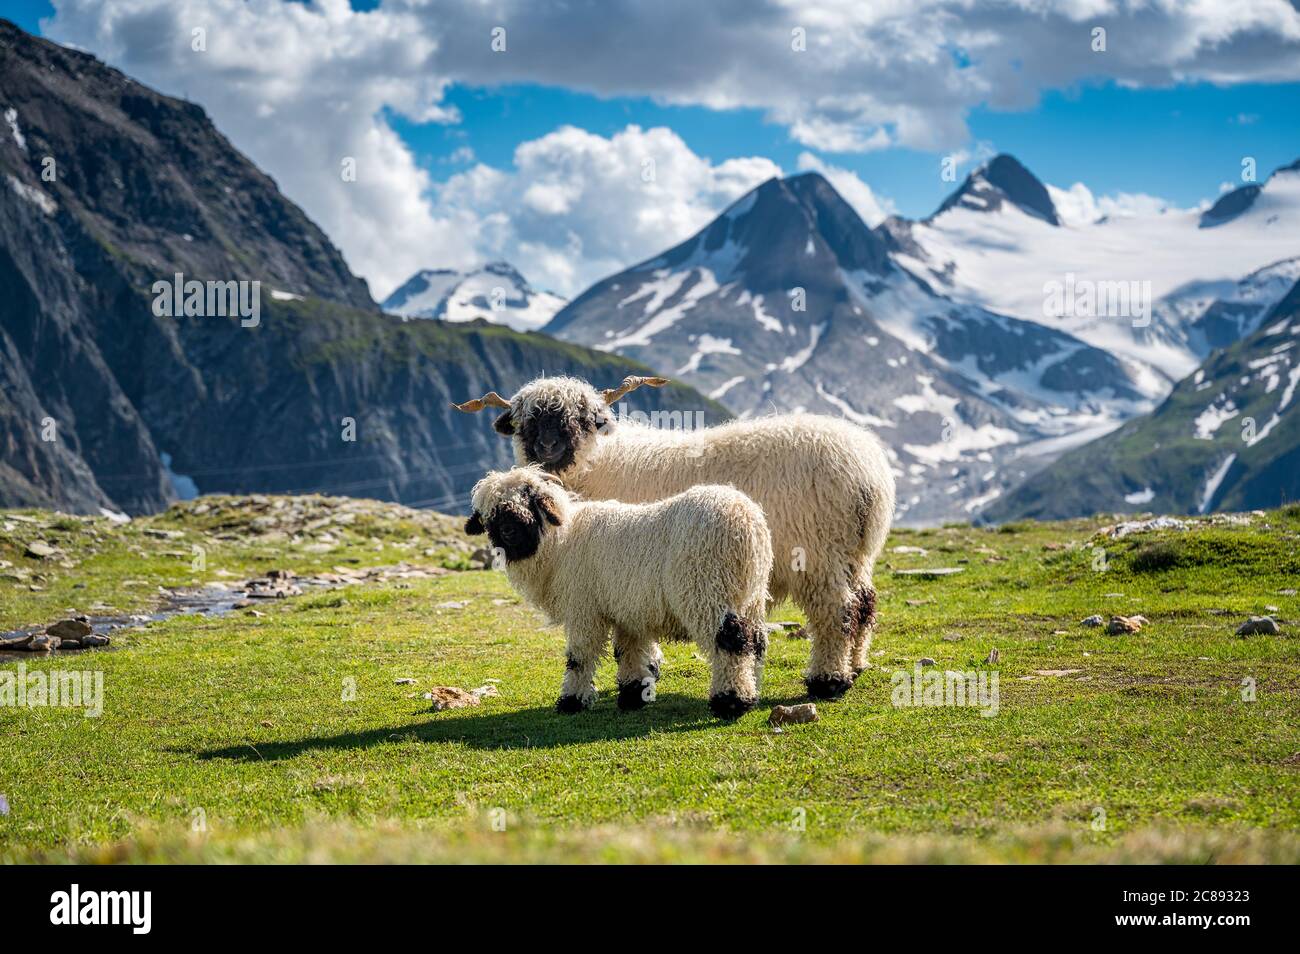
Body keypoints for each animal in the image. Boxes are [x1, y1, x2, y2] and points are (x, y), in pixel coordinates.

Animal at [465, 465, 773, 717]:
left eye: (530, 497)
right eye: (491, 513)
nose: (509, 531)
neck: (560, 541)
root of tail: (744, 520)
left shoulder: (584, 609)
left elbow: (580, 657)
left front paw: (572, 701)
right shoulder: (628, 610)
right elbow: (629, 652)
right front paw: (633, 695)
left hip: (705, 590)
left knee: (731, 640)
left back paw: (731, 701)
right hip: (751, 596)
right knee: (756, 641)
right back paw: (753, 691)